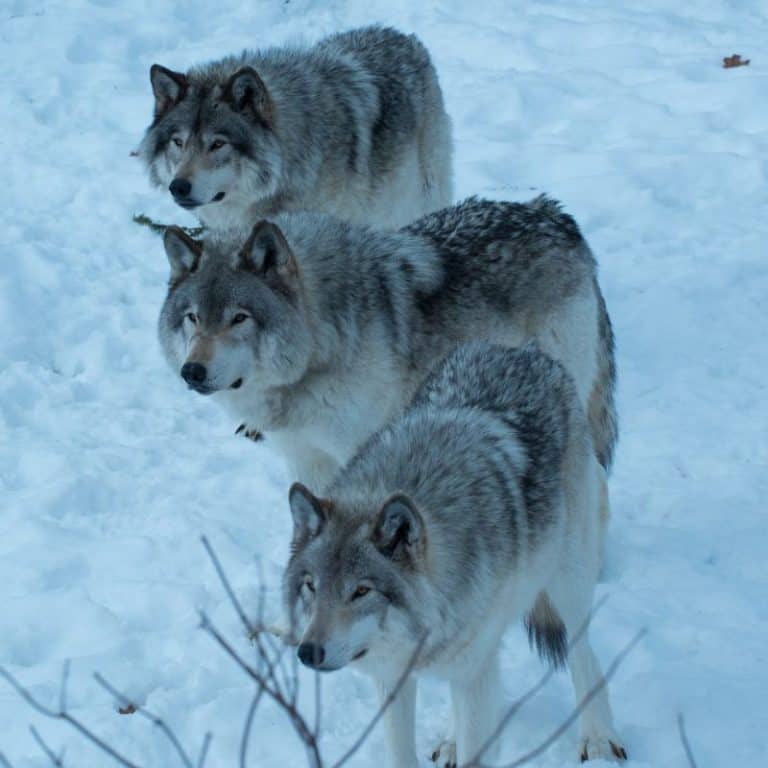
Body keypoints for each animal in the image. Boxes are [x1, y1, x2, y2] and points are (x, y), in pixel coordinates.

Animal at [282, 342, 627, 767]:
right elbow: (402, 751)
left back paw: (598, 739)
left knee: (583, 653)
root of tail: (520, 349)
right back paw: (449, 740)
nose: (307, 652)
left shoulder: (472, 668)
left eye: (361, 591)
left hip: (568, 581)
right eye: (312, 586)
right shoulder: (393, 675)